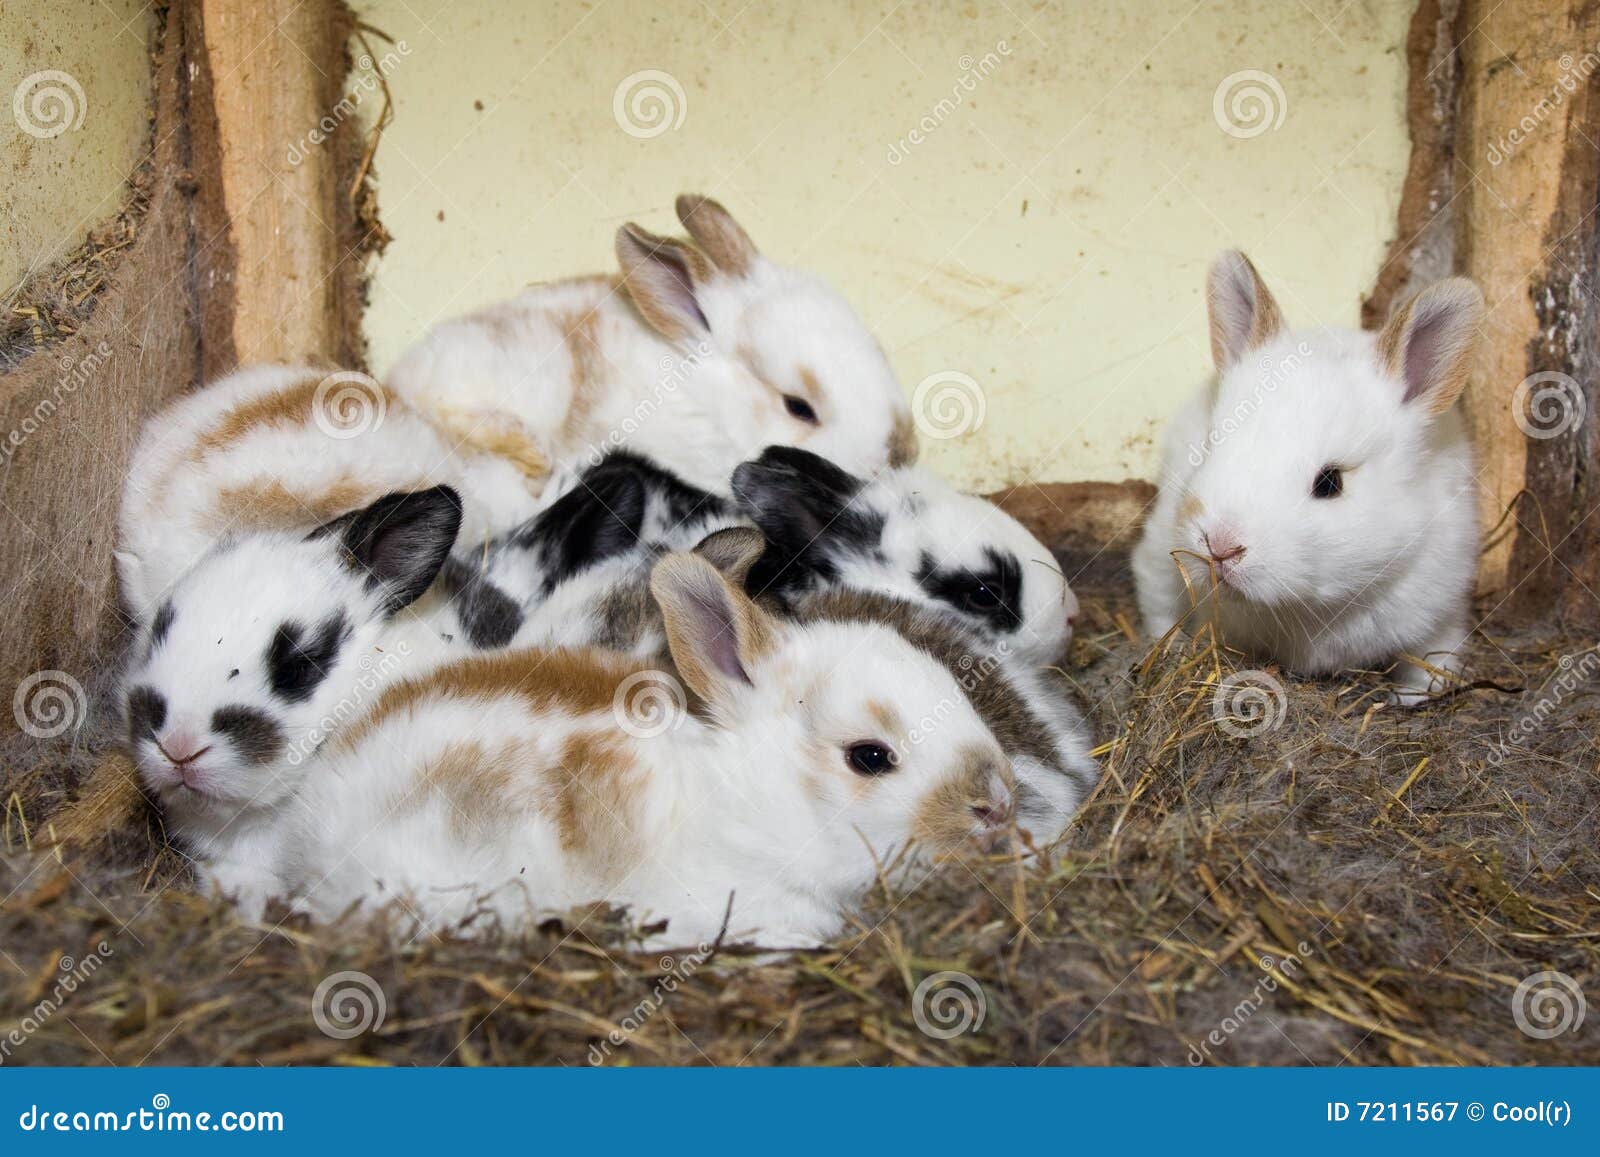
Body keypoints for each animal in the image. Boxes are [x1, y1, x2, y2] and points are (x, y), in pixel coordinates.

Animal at [1131, 251, 1484, 705]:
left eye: (1330, 483)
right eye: (1210, 447)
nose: (1221, 547)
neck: (1315, 608)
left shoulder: (1442, 614)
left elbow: (1431, 662)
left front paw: (1414, 697)